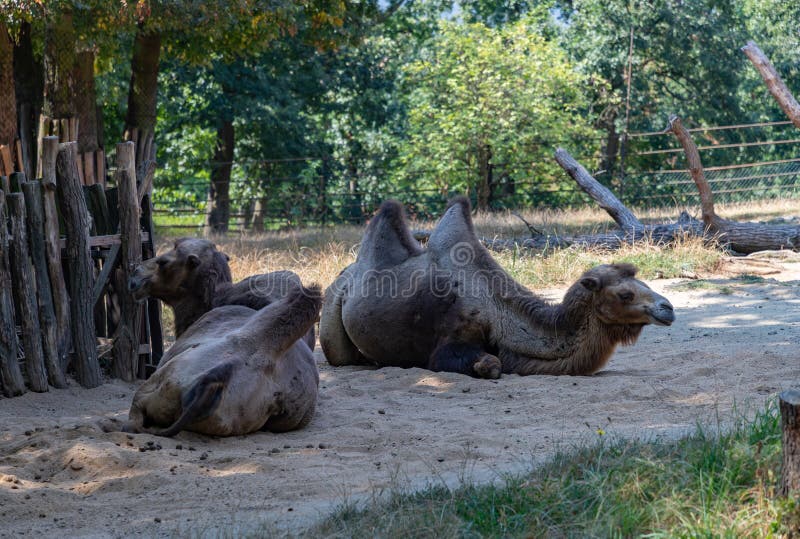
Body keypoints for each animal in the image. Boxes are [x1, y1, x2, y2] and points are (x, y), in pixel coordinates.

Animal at [320, 197, 675, 378]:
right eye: (625, 294)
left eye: (643, 283)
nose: (668, 308)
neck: (498, 314)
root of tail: (343, 276)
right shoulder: (449, 339)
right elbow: (490, 365)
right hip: (330, 320)